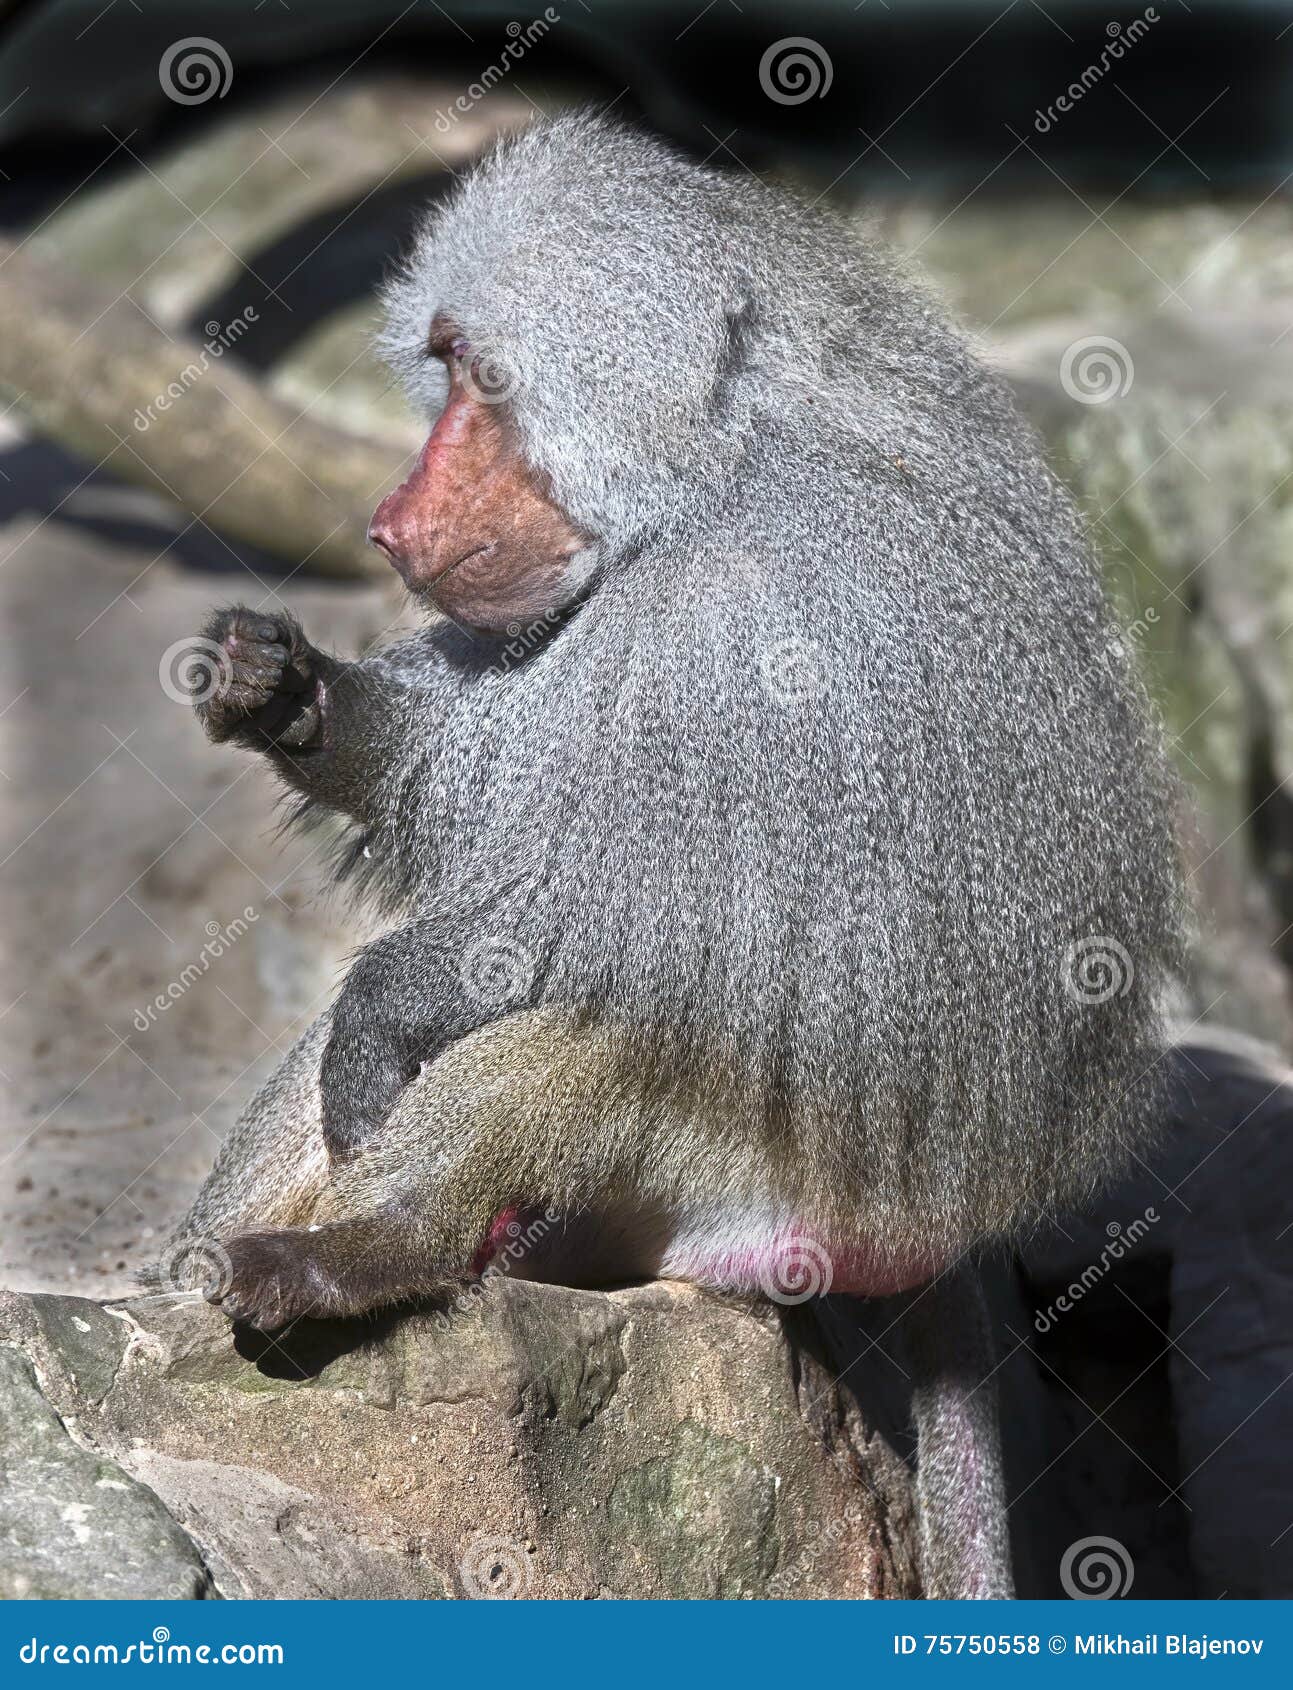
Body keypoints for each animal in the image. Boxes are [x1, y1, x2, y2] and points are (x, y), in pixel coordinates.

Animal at [164, 111, 1184, 1598]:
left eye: (478, 373)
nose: (388, 524)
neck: (724, 470)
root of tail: (958, 1221)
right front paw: (285, 689)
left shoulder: (754, 621)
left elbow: (640, 919)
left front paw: (388, 1008)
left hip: (784, 1171)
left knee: (590, 1030)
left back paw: (353, 1254)